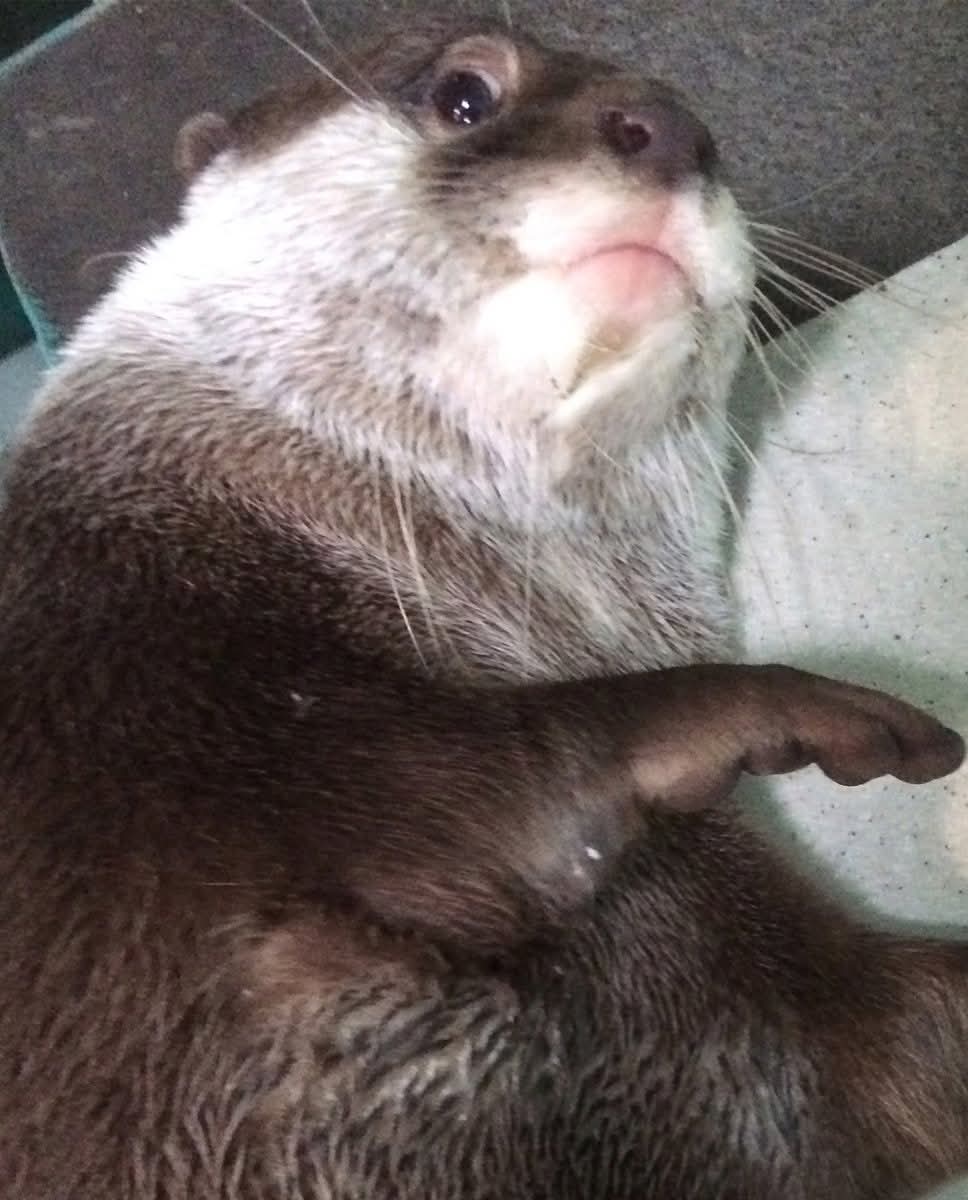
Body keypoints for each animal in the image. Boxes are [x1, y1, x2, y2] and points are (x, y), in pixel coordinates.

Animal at [0, 16, 965, 1200]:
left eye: (719, 146)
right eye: (465, 92)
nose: (672, 120)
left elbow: (898, 1038)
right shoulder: (150, 710)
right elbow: (458, 776)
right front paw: (782, 706)